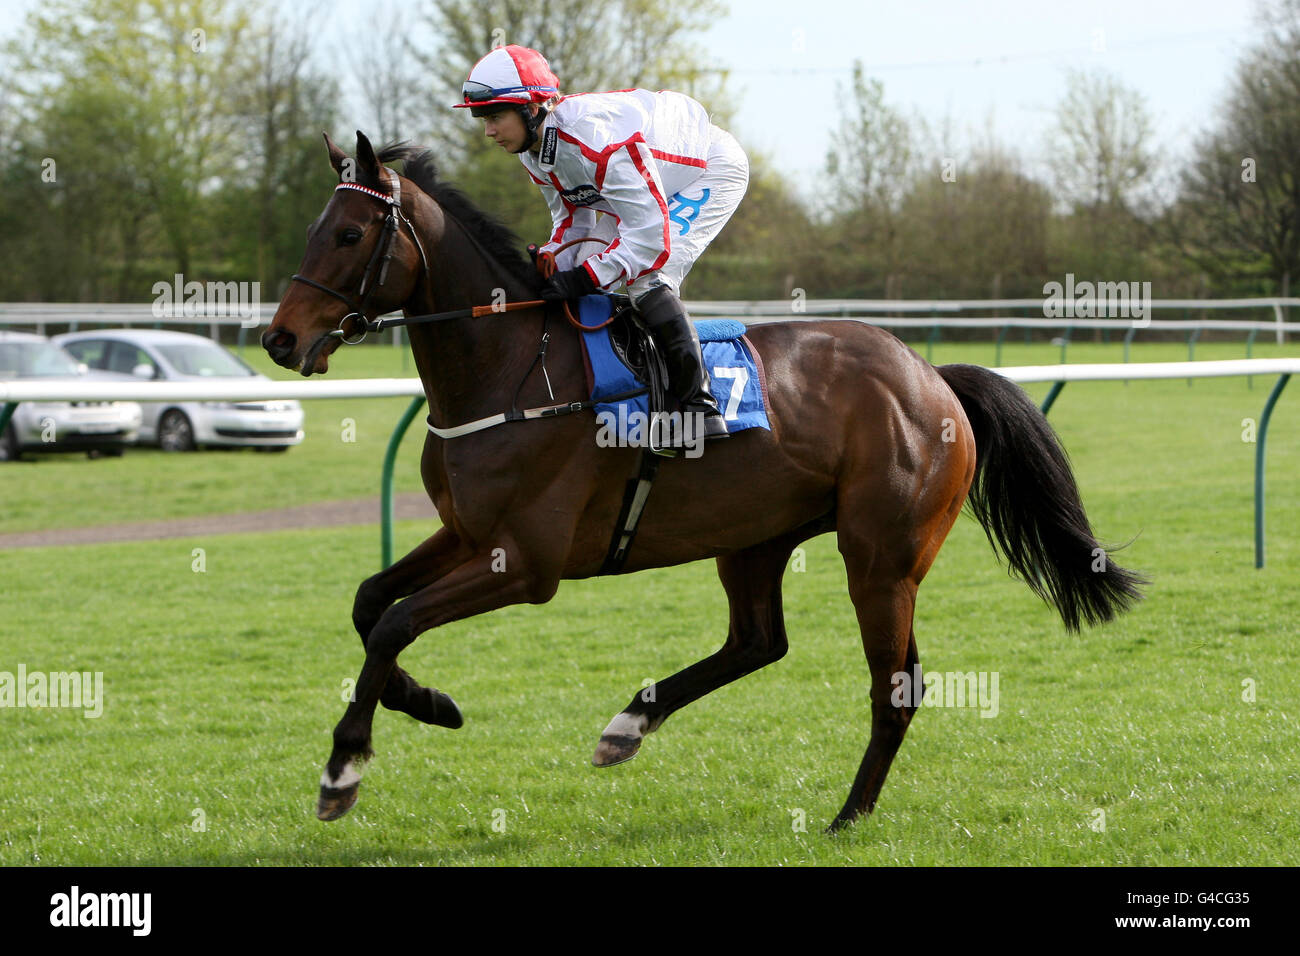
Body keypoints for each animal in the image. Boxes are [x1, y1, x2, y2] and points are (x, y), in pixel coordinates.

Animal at [262, 131, 1145, 832]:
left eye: (348, 233)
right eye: (311, 231)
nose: (279, 340)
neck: (511, 367)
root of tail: (931, 375)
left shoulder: (527, 564)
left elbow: (394, 622)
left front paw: (342, 770)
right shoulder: (468, 533)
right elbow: (372, 603)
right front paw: (429, 703)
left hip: (882, 557)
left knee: (892, 687)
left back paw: (847, 815)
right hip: (757, 536)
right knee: (759, 641)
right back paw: (629, 725)